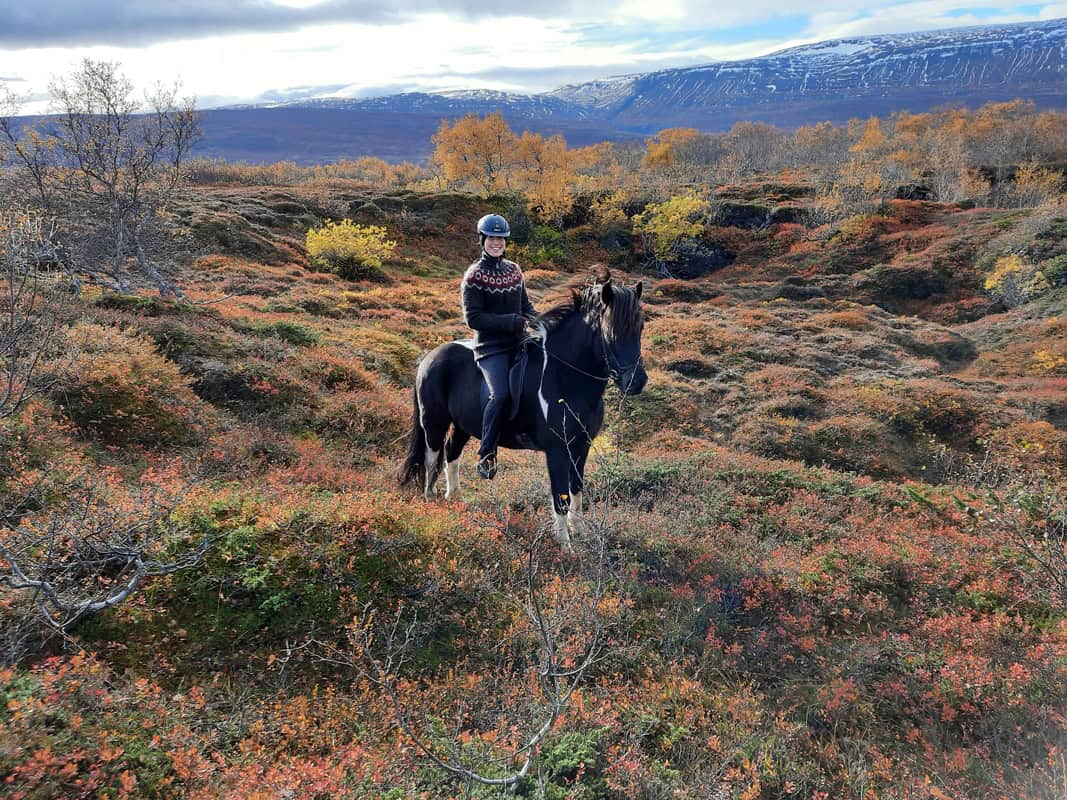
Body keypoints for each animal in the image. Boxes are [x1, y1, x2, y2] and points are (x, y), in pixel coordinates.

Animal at [399, 273, 647, 549]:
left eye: (640, 328)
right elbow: (560, 497)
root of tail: (429, 357)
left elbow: (577, 489)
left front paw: (581, 533)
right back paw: (431, 501)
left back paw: (456, 501)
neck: (566, 378)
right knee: (432, 457)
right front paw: (565, 546)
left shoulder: (581, 446)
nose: (636, 382)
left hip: (464, 425)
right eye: (610, 331)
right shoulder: (557, 450)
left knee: (451, 453)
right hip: (434, 422)